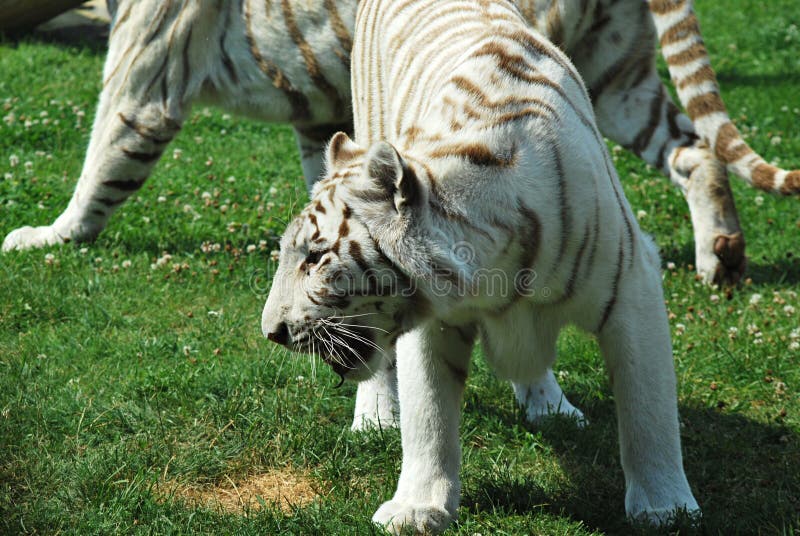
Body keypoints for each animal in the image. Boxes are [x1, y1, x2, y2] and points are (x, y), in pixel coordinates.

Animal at [2, 0, 796, 432]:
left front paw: (44, 236)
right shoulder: (324, 118)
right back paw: (722, 257)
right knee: (695, 151)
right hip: (619, 75)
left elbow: (101, 164)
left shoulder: (147, 73)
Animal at [261, 0, 700, 530]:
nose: (271, 332)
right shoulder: (429, 321)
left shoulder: (631, 281)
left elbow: (648, 409)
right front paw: (416, 509)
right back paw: (375, 416)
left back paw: (550, 405)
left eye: (316, 256)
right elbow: (427, 415)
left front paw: (666, 509)